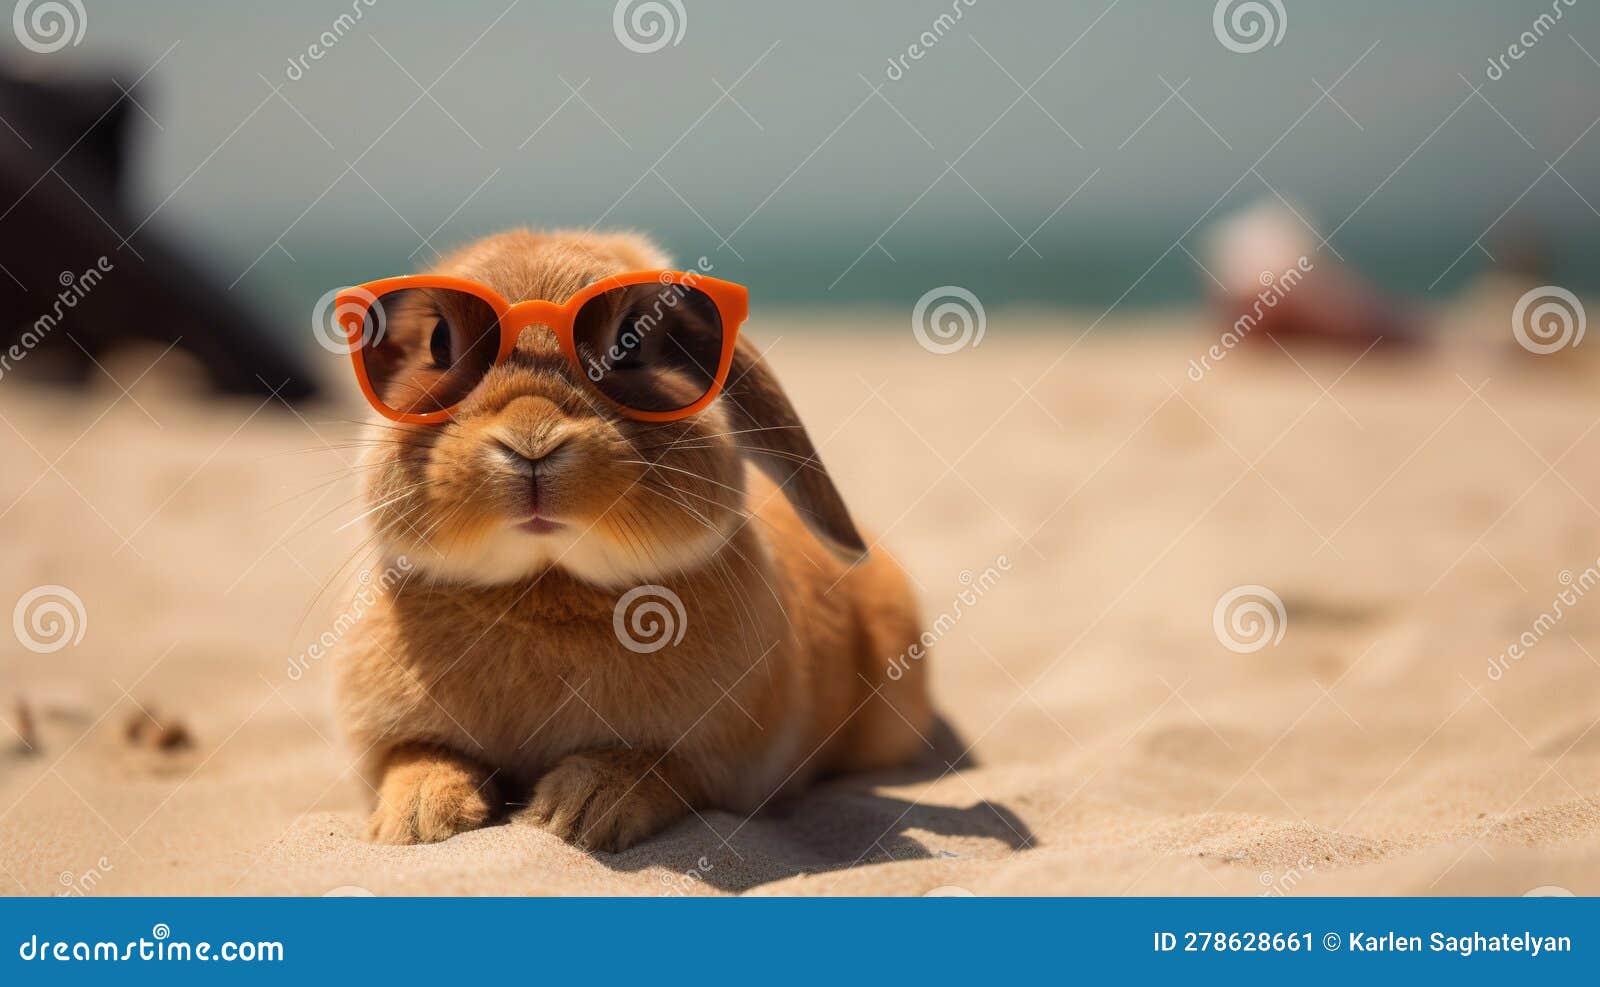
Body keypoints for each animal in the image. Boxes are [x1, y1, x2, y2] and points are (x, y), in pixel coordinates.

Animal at [334, 228, 933, 851]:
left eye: (630, 342)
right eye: (439, 342)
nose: (532, 437)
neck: (546, 579)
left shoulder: (716, 762)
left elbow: (657, 770)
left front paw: (573, 813)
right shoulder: (390, 741)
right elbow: (415, 758)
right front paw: (422, 820)